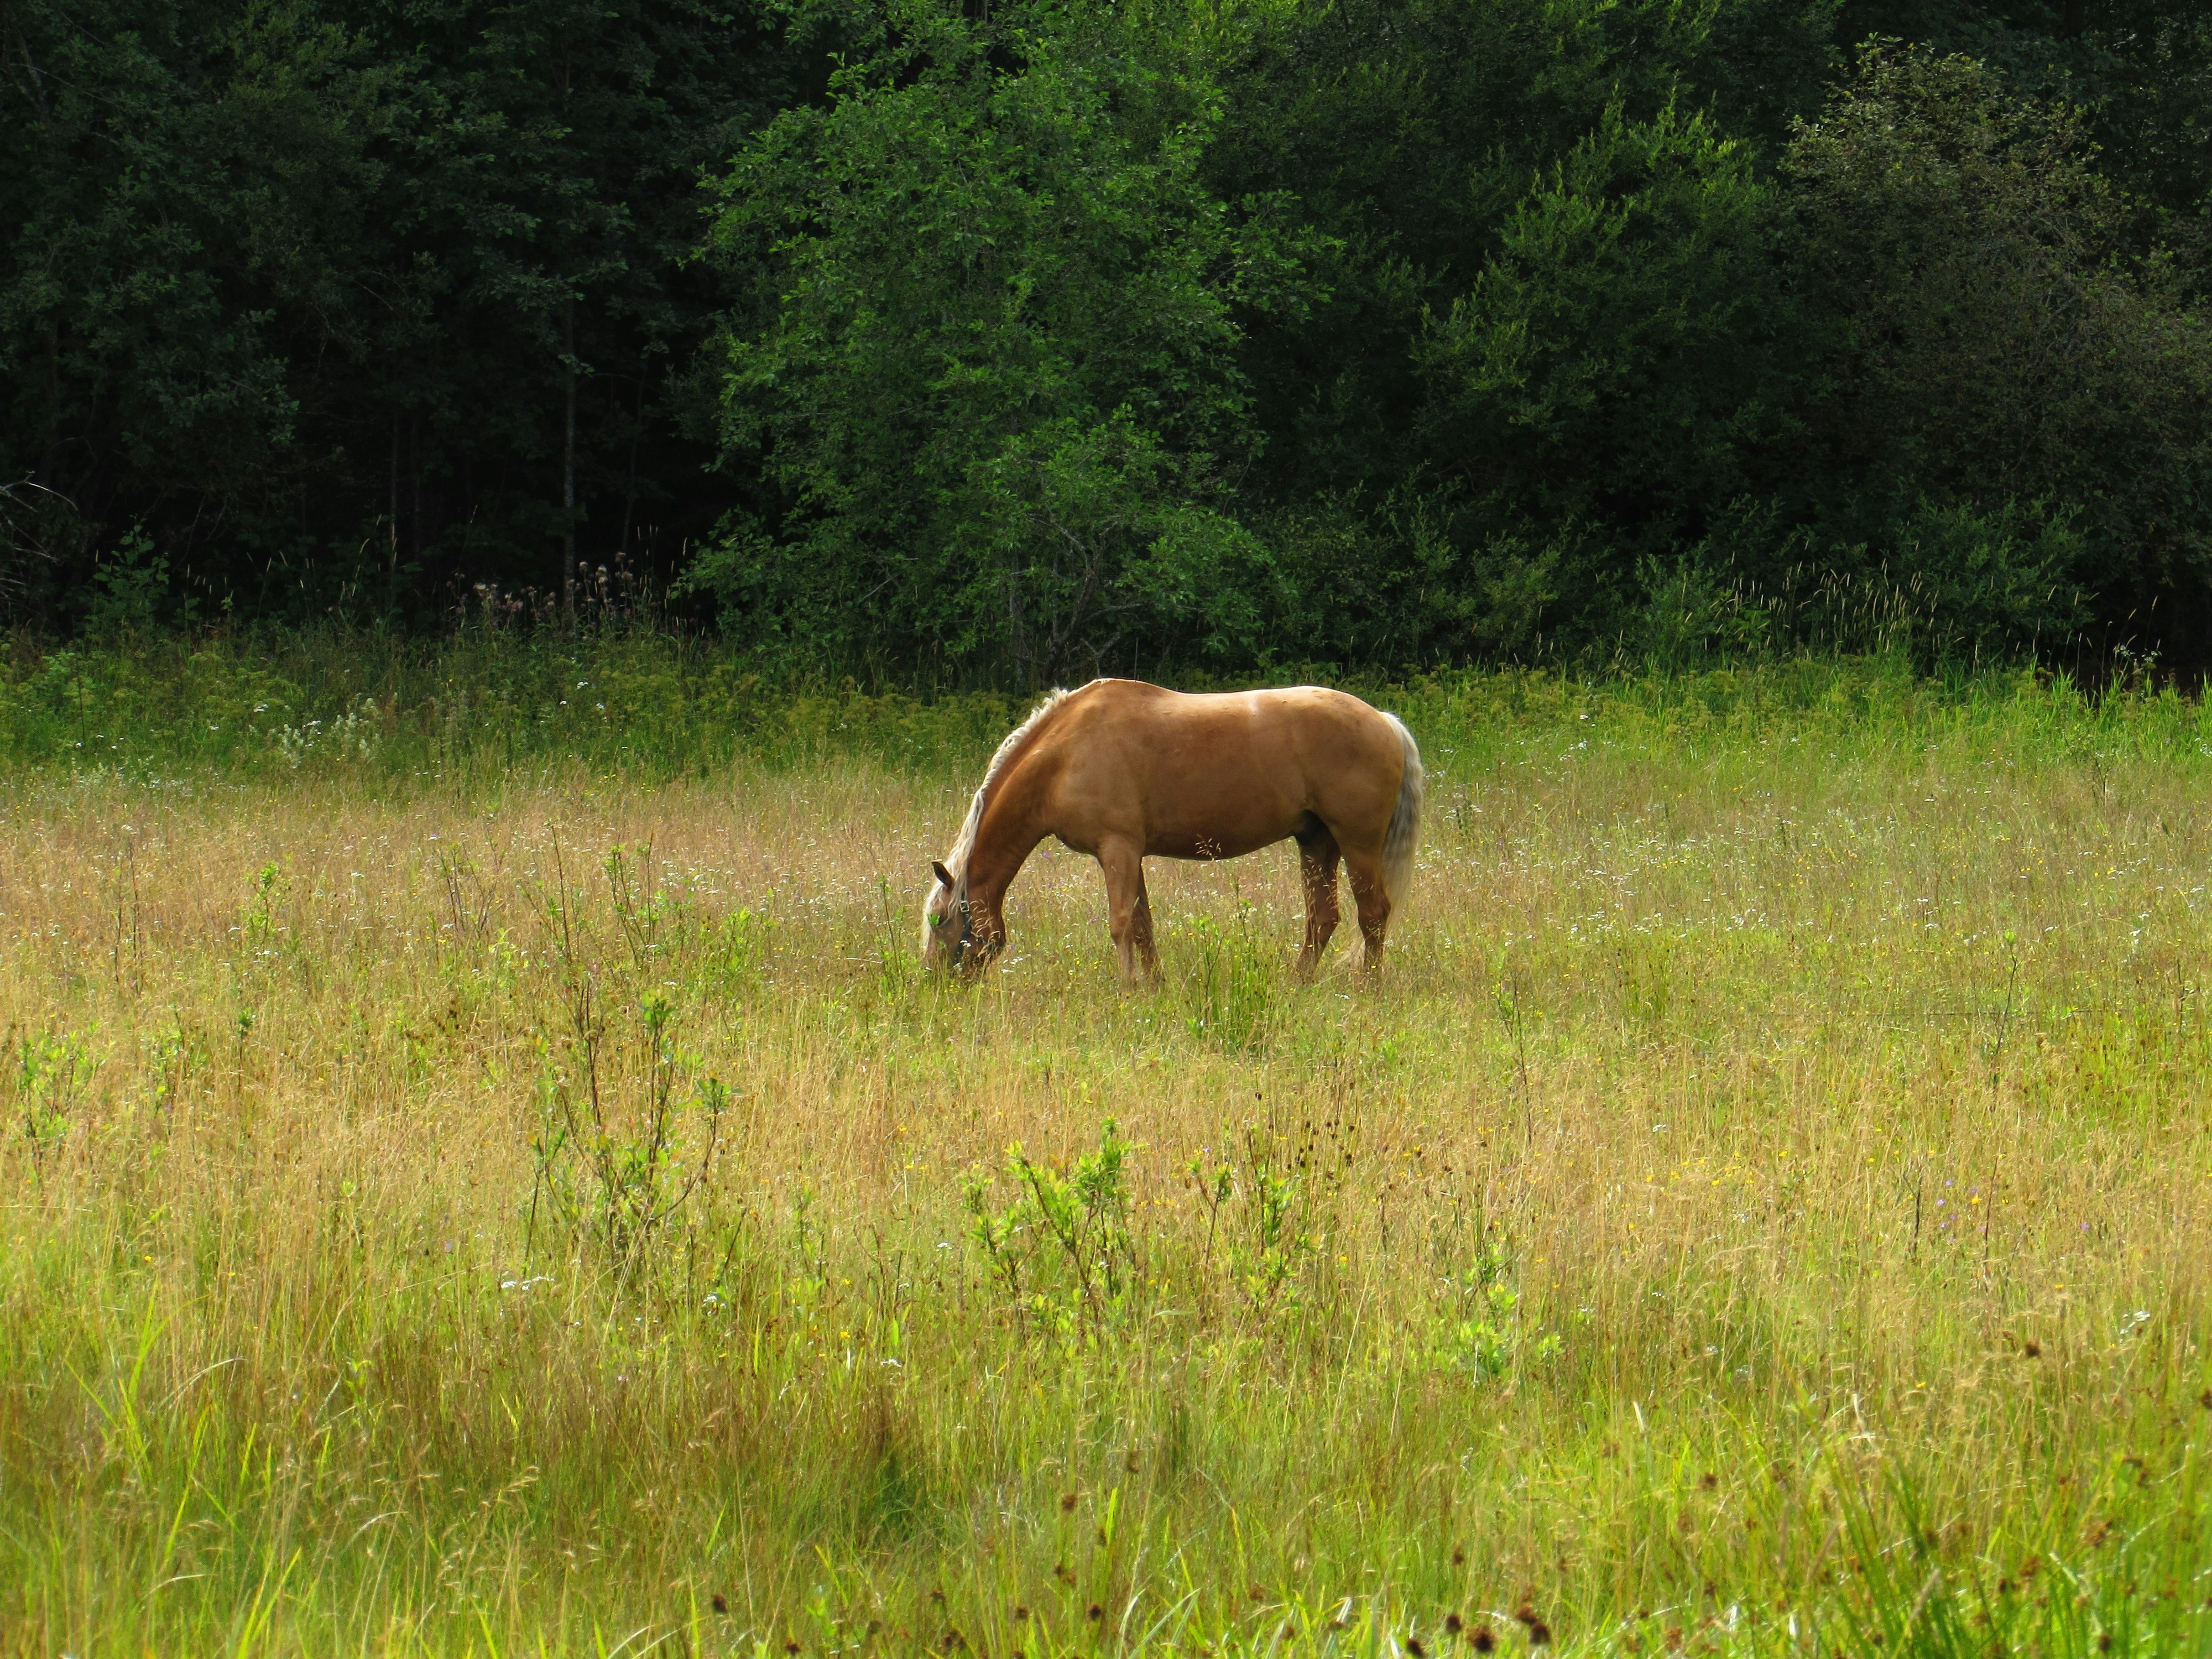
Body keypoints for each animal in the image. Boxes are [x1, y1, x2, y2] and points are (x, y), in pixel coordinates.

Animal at [921, 679, 1423, 982]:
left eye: (940, 921)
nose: (934, 982)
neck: (1064, 757)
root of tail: (1384, 721)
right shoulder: (1131, 854)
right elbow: (1144, 924)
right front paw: (1155, 986)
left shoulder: (1117, 850)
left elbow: (1121, 924)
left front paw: (1127, 989)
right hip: (1317, 843)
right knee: (1323, 918)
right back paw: (1297, 984)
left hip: (1357, 844)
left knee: (1373, 914)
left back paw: (1368, 987)